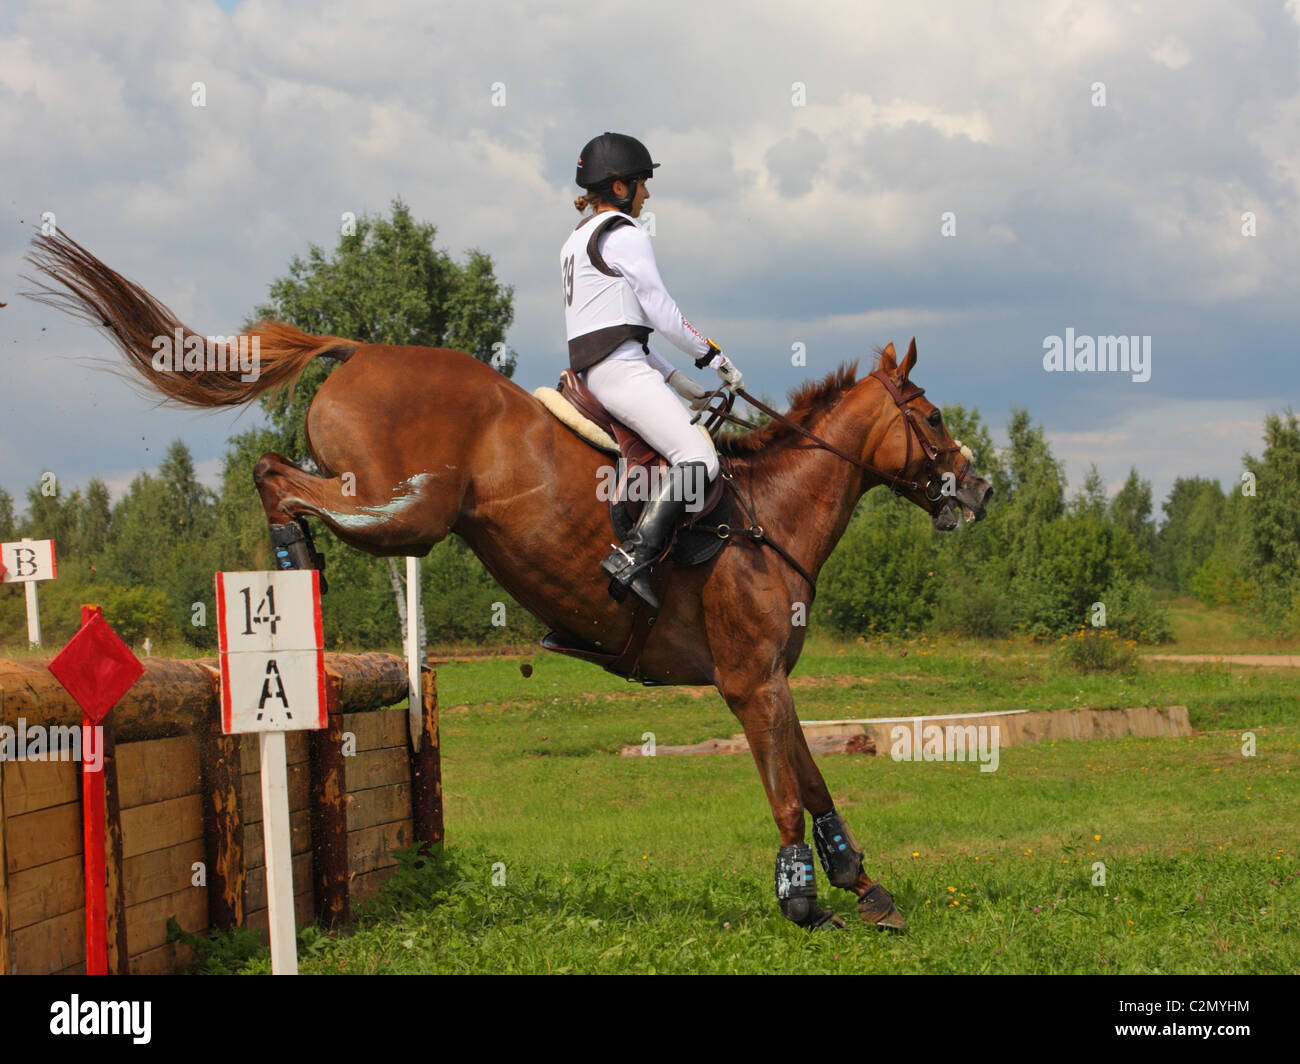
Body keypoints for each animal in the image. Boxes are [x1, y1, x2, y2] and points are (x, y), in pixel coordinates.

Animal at [25, 230, 992, 931]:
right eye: (935, 416)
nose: (979, 489)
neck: (768, 515)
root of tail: (361, 345)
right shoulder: (751, 682)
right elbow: (788, 794)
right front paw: (803, 901)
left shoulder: (773, 682)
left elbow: (816, 784)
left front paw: (865, 890)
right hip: (408, 508)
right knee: (279, 477)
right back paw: (295, 561)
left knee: (281, 475)